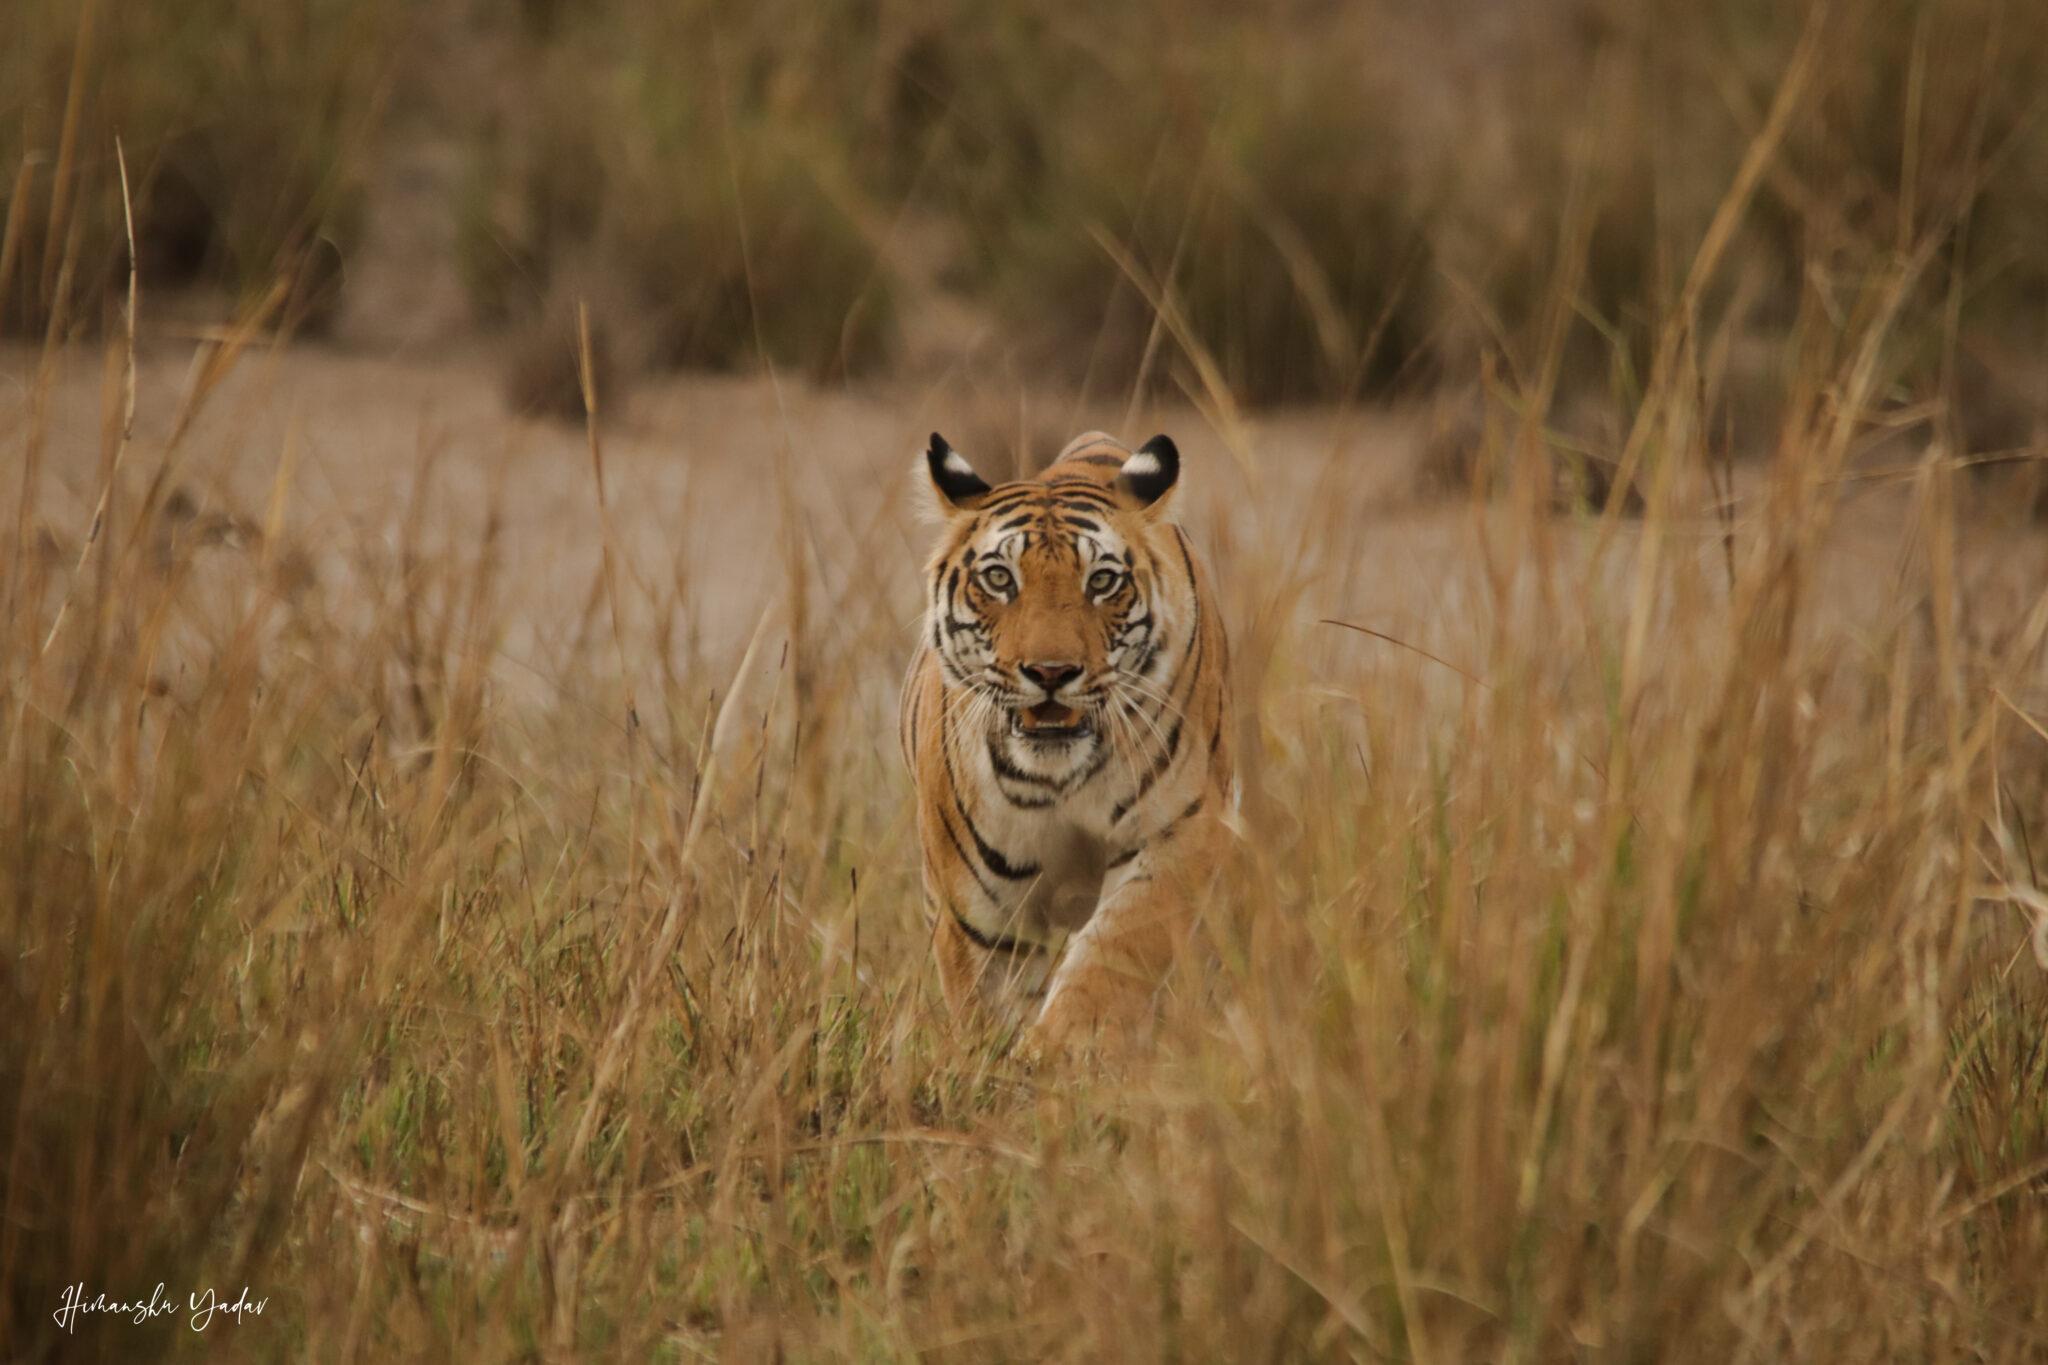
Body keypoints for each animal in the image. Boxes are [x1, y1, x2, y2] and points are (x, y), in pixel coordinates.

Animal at [899, 429, 1234, 1054]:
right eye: (1000, 579)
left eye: (1101, 581)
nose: (1051, 672)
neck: (1059, 776)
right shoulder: (974, 897)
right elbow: (988, 996)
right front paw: (994, 1058)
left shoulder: (1180, 828)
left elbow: (1116, 951)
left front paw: (1068, 1045)